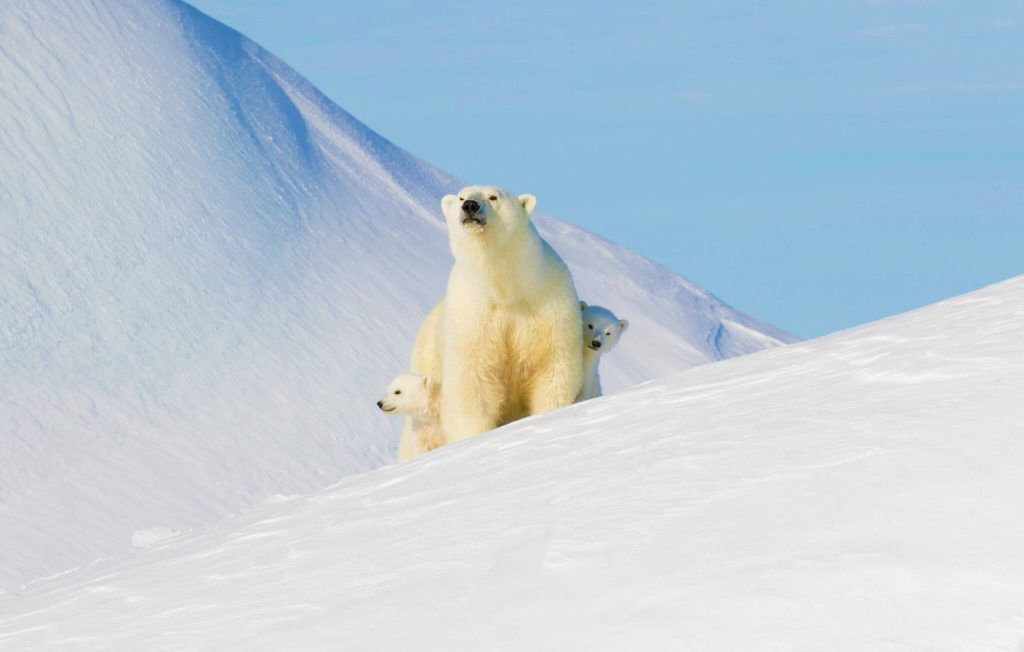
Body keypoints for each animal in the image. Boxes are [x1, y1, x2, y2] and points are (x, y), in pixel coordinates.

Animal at [409, 185, 583, 445]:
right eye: (461, 196)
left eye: (493, 196)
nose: (470, 206)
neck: (505, 289)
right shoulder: (472, 316)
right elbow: (473, 383)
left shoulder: (548, 303)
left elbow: (552, 367)